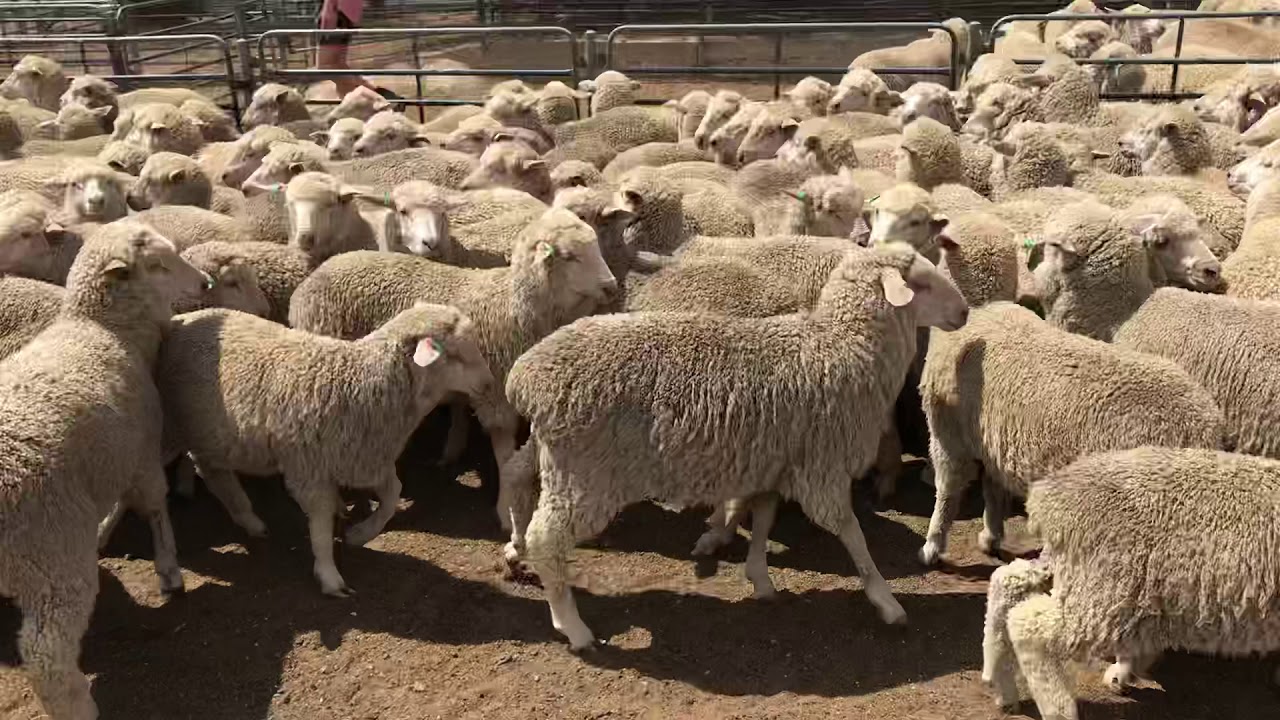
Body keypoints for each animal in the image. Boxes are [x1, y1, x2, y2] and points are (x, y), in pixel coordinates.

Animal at [0, 220, 208, 719]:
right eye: (157, 264)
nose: (206, 284)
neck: (101, 328)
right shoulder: (142, 450)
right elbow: (153, 506)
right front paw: (169, 570)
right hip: (51, 554)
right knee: (47, 657)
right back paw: (80, 707)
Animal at [506, 244, 968, 648]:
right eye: (922, 283)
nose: (964, 312)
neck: (841, 349)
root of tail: (525, 377)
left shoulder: (772, 461)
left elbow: (762, 520)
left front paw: (759, 577)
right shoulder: (821, 468)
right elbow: (852, 535)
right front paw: (885, 600)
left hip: (553, 455)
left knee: (517, 480)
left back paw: (519, 555)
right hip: (587, 474)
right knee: (548, 539)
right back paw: (572, 626)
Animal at [918, 300, 1226, 566]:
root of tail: (1203, 430)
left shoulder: (950, 439)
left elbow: (947, 495)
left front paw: (931, 547)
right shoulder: (991, 443)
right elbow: (993, 492)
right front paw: (990, 537)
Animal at [997, 447, 1280, 720]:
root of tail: (1047, 496)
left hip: (1096, 583)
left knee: (1008, 585)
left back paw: (1003, 688)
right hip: (1105, 590)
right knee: (1026, 623)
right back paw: (1059, 710)